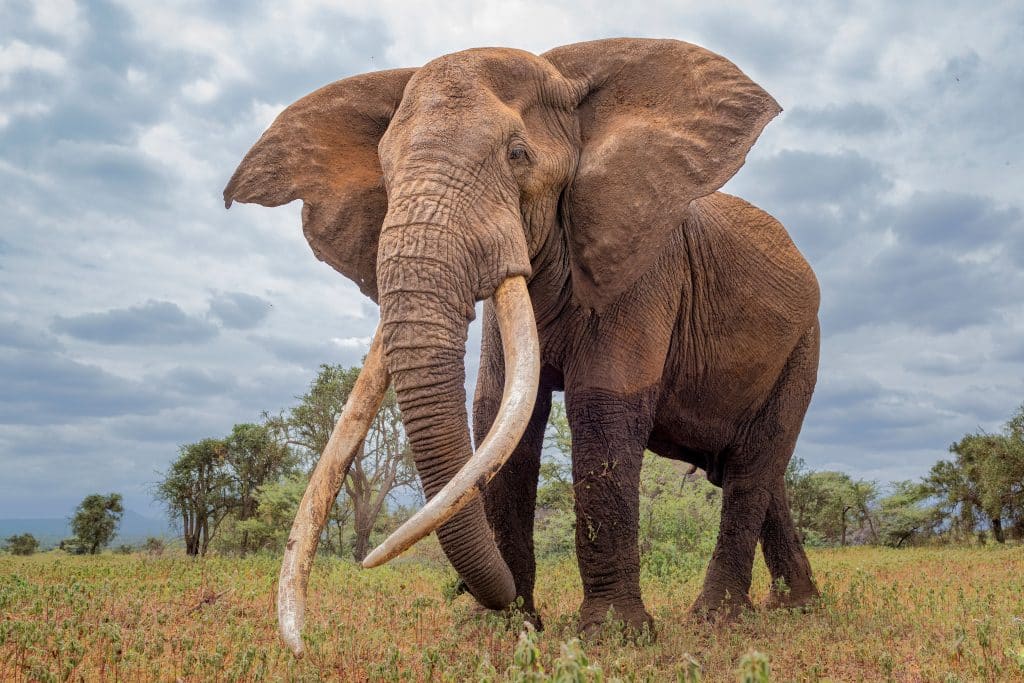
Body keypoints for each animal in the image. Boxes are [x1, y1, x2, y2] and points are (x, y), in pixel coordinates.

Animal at [224, 37, 820, 654]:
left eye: (517, 154)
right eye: (385, 170)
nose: (473, 592)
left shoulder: (645, 266)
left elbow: (600, 407)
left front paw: (613, 637)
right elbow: (500, 410)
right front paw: (506, 626)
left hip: (803, 345)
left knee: (752, 467)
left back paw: (718, 620)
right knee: (753, 472)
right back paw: (797, 607)